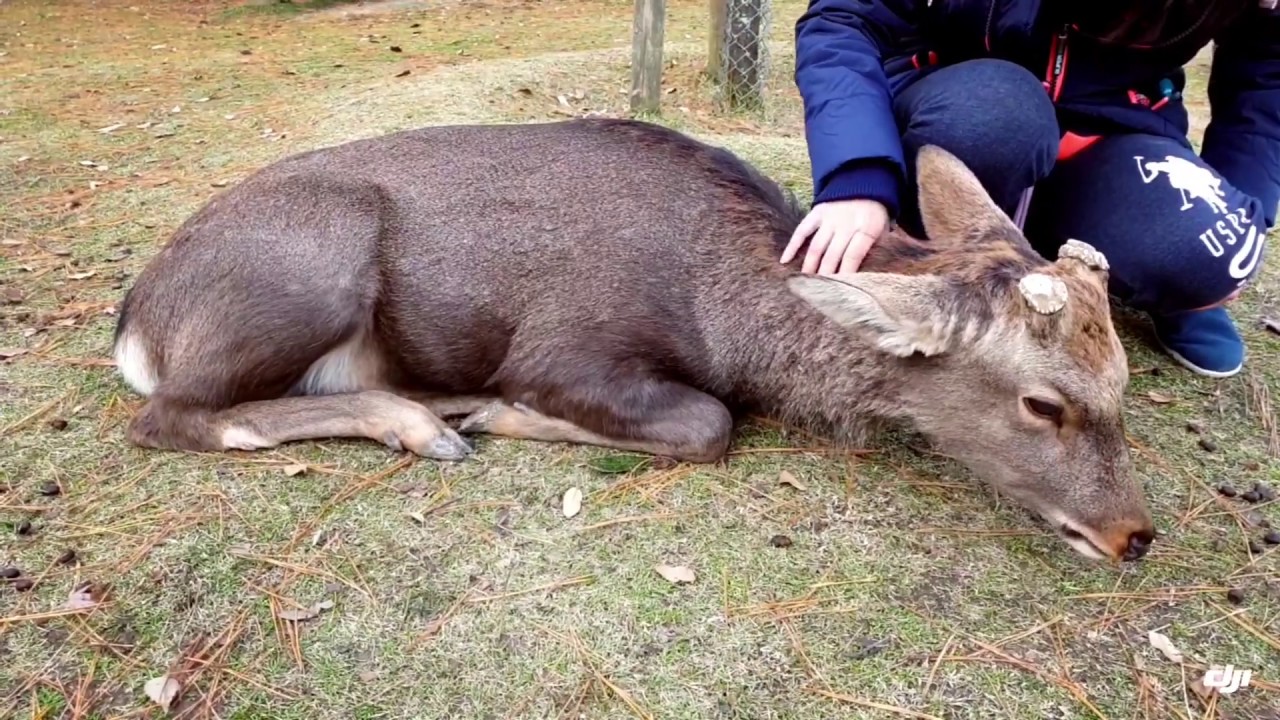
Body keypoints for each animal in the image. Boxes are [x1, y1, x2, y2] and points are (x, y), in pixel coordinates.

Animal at [112, 118, 1155, 563]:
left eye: (1122, 383)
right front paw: (505, 412)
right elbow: (707, 423)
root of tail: (135, 322)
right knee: (173, 418)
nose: (1134, 535)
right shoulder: (566, 344)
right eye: (1042, 402)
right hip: (316, 269)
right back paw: (429, 424)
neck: (722, 313)